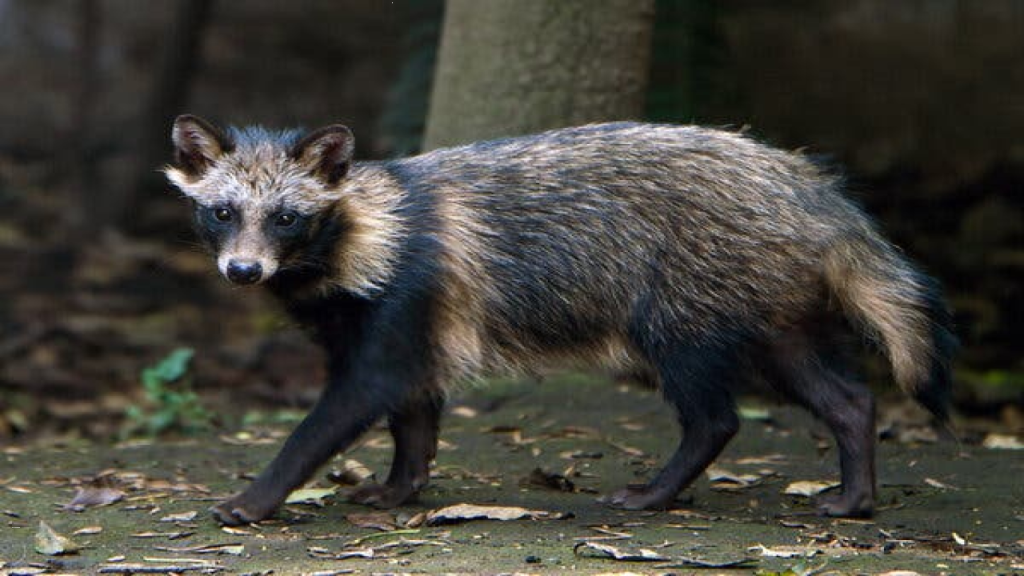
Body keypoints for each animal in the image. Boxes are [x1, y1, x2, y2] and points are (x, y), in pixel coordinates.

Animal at [165, 115, 956, 526]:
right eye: (223, 213)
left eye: (287, 218)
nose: (243, 272)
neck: (365, 230)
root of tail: (805, 184)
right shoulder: (401, 330)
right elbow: (414, 418)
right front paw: (400, 486)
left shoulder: (402, 310)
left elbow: (331, 419)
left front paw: (257, 495)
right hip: (768, 317)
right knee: (848, 399)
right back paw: (856, 492)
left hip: (682, 310)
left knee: (714, 418)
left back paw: (659, 490)